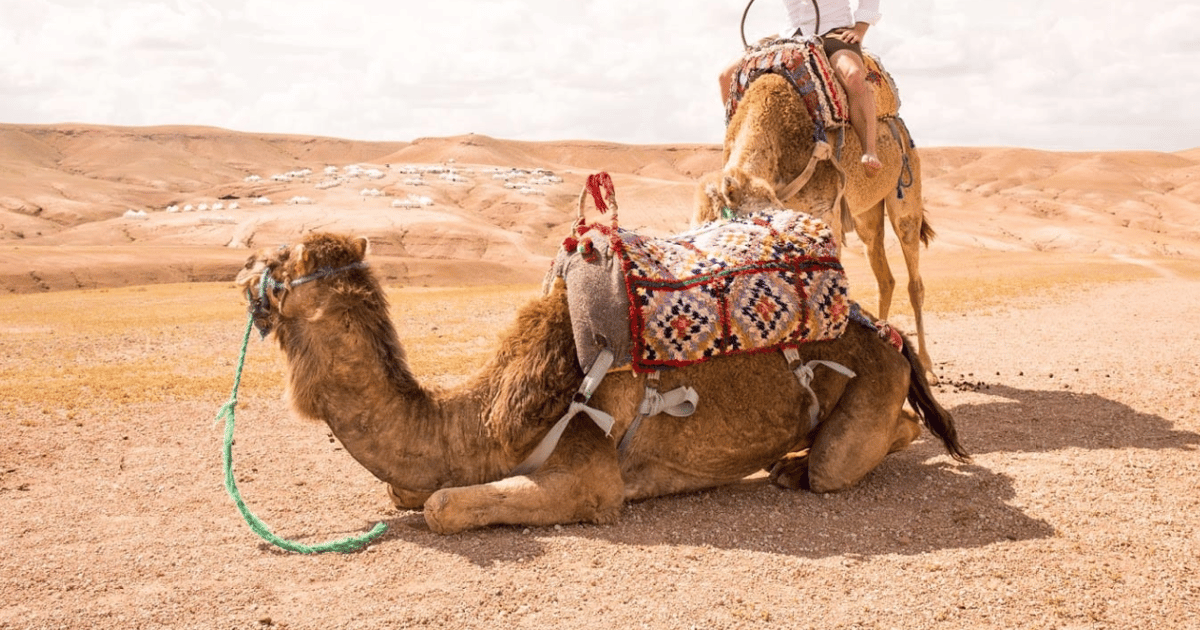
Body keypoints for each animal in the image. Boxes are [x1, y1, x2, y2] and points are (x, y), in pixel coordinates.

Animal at [235, 232, 968, 534]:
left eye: (281, 258)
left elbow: (442, 506)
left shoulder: (589, 477)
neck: (479, 420)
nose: (242, 266)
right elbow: (407, 489)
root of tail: (883, 331)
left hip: (868, 393)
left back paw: (796, 467)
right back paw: (789, 460)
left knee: (842, 460)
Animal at [696, 70, 936, 378]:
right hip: (867, 215)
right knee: (884, 275)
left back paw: (926, 365)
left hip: (906, 190)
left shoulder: (827, 210)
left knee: (913, 277)